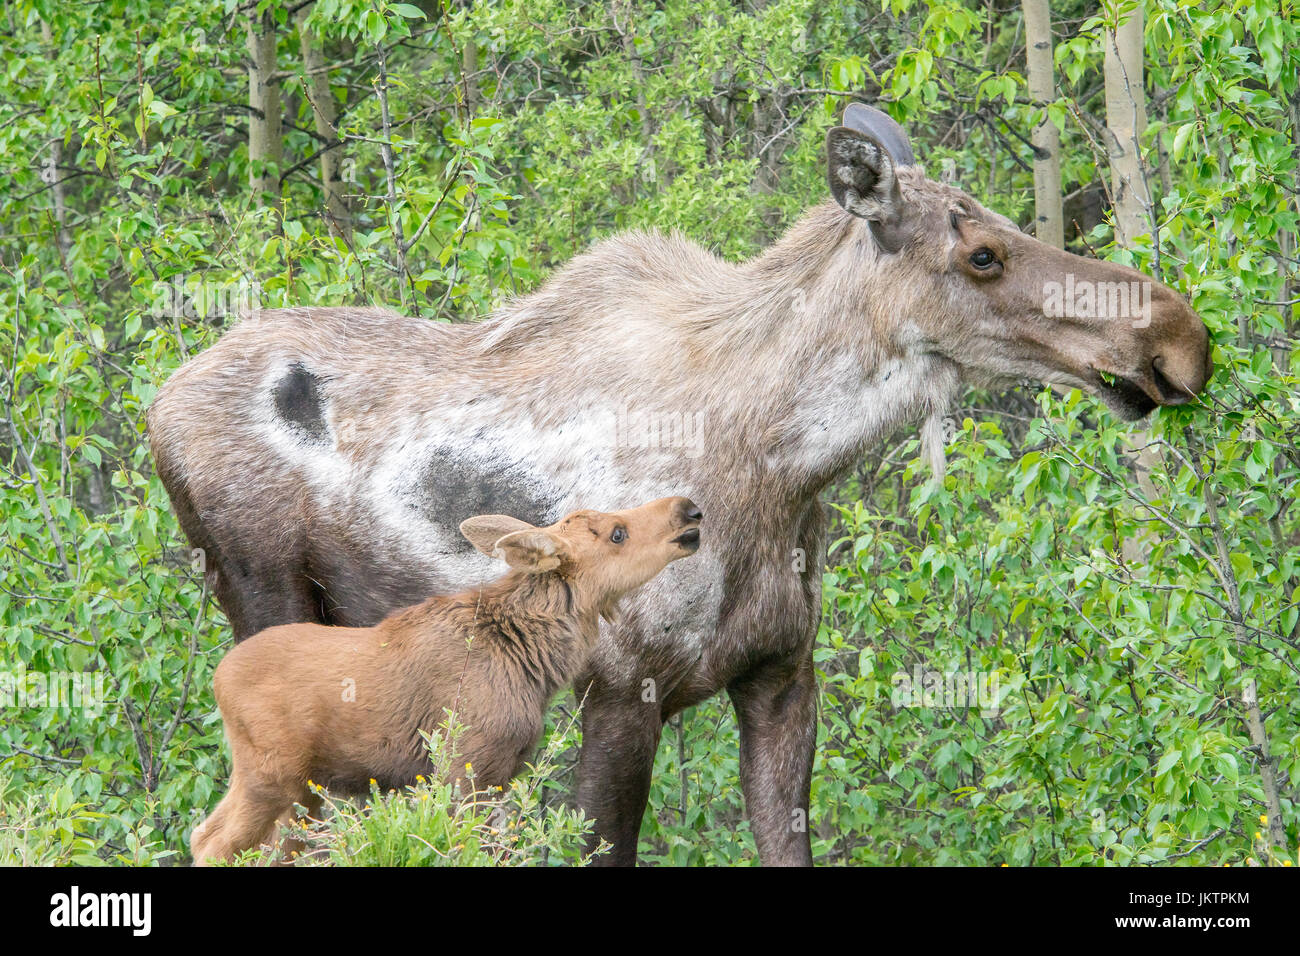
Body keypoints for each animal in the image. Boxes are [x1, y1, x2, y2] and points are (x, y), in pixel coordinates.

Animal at [188, 497, 703, 865]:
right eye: (618, 533)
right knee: (211, 842)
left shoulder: (502, 773)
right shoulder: (466, 766)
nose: (689, 509)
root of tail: (217, 679)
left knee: (218, 837)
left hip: (298, 790)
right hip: (271, 774)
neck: (534, 663)